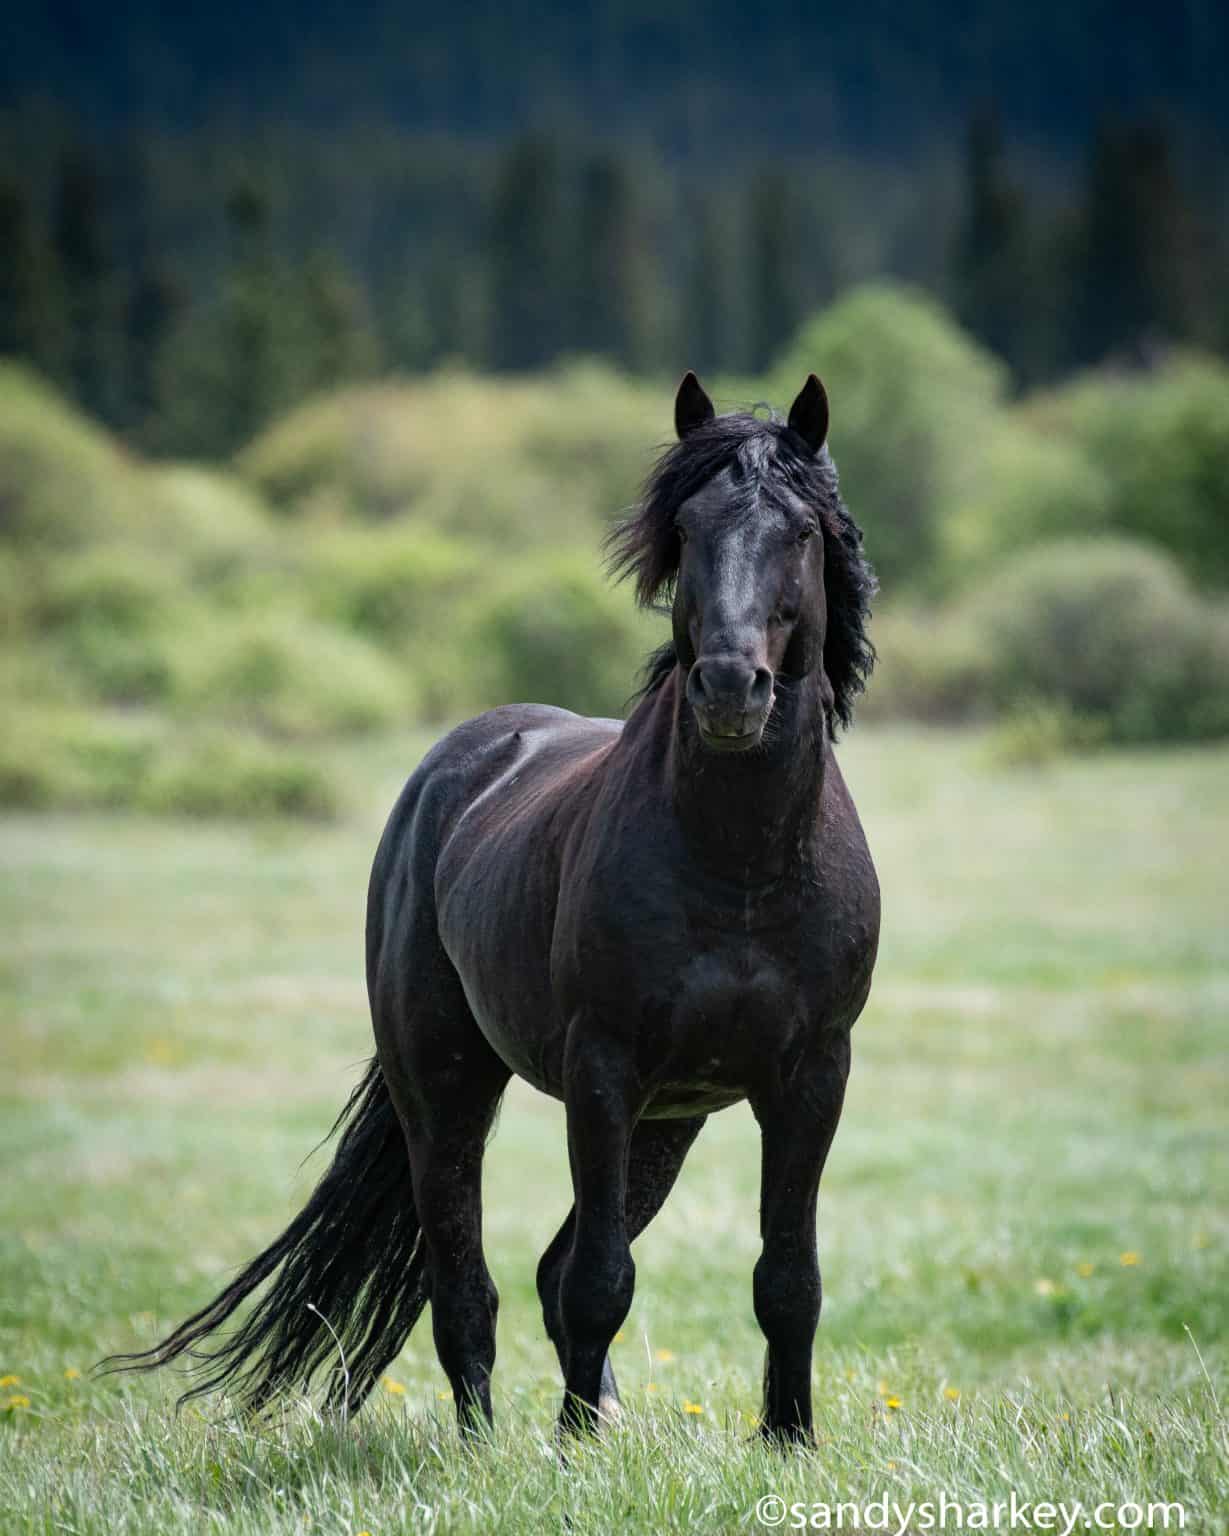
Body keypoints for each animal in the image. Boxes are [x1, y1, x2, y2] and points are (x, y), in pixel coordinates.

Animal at [108, 370, 880, 1445]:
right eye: (685, 527)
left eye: (802, 530)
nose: (731, 687)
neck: (741, 864)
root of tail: (458, 764)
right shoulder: (601, 1071)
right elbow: (600, 1281)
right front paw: (570, 1452)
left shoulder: (811, 1077)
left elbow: (786, 1281)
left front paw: (787, 1442)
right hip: (448, 1089)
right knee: (468, 1280)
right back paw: (487, 1444)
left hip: (667, 1122)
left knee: (551, 1268)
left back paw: (592, 1420)